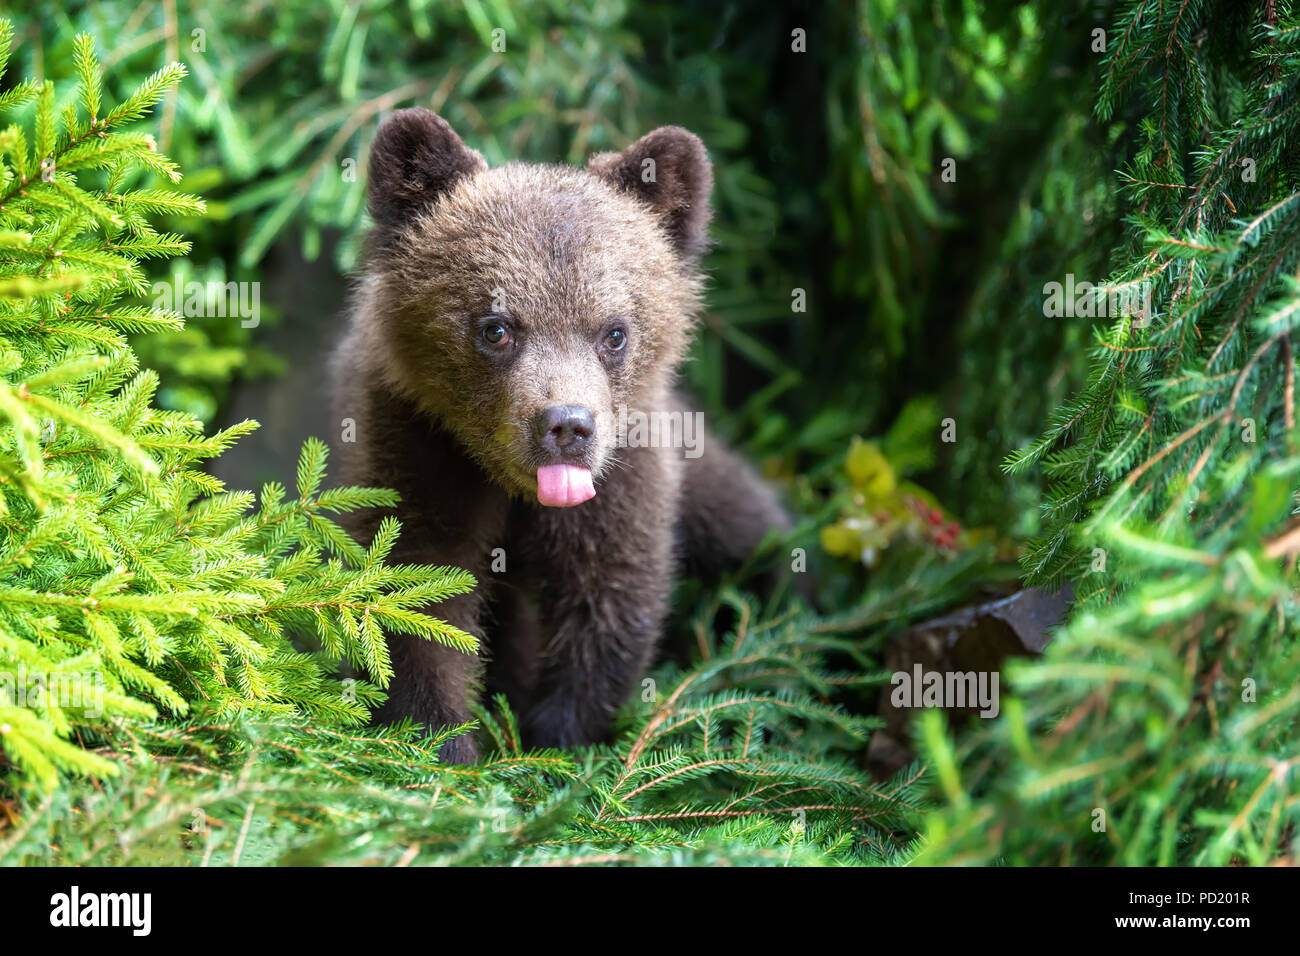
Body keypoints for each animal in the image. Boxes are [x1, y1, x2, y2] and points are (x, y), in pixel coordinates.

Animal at [330, 109, 791, 763]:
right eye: (496, 326)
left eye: (615, 331)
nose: (568, 425)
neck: (511, 489)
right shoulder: (414, 443)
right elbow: (413, 587)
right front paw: (442, 740)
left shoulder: (626, 470)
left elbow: (610, 591)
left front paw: (557, 741)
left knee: (744, 522)